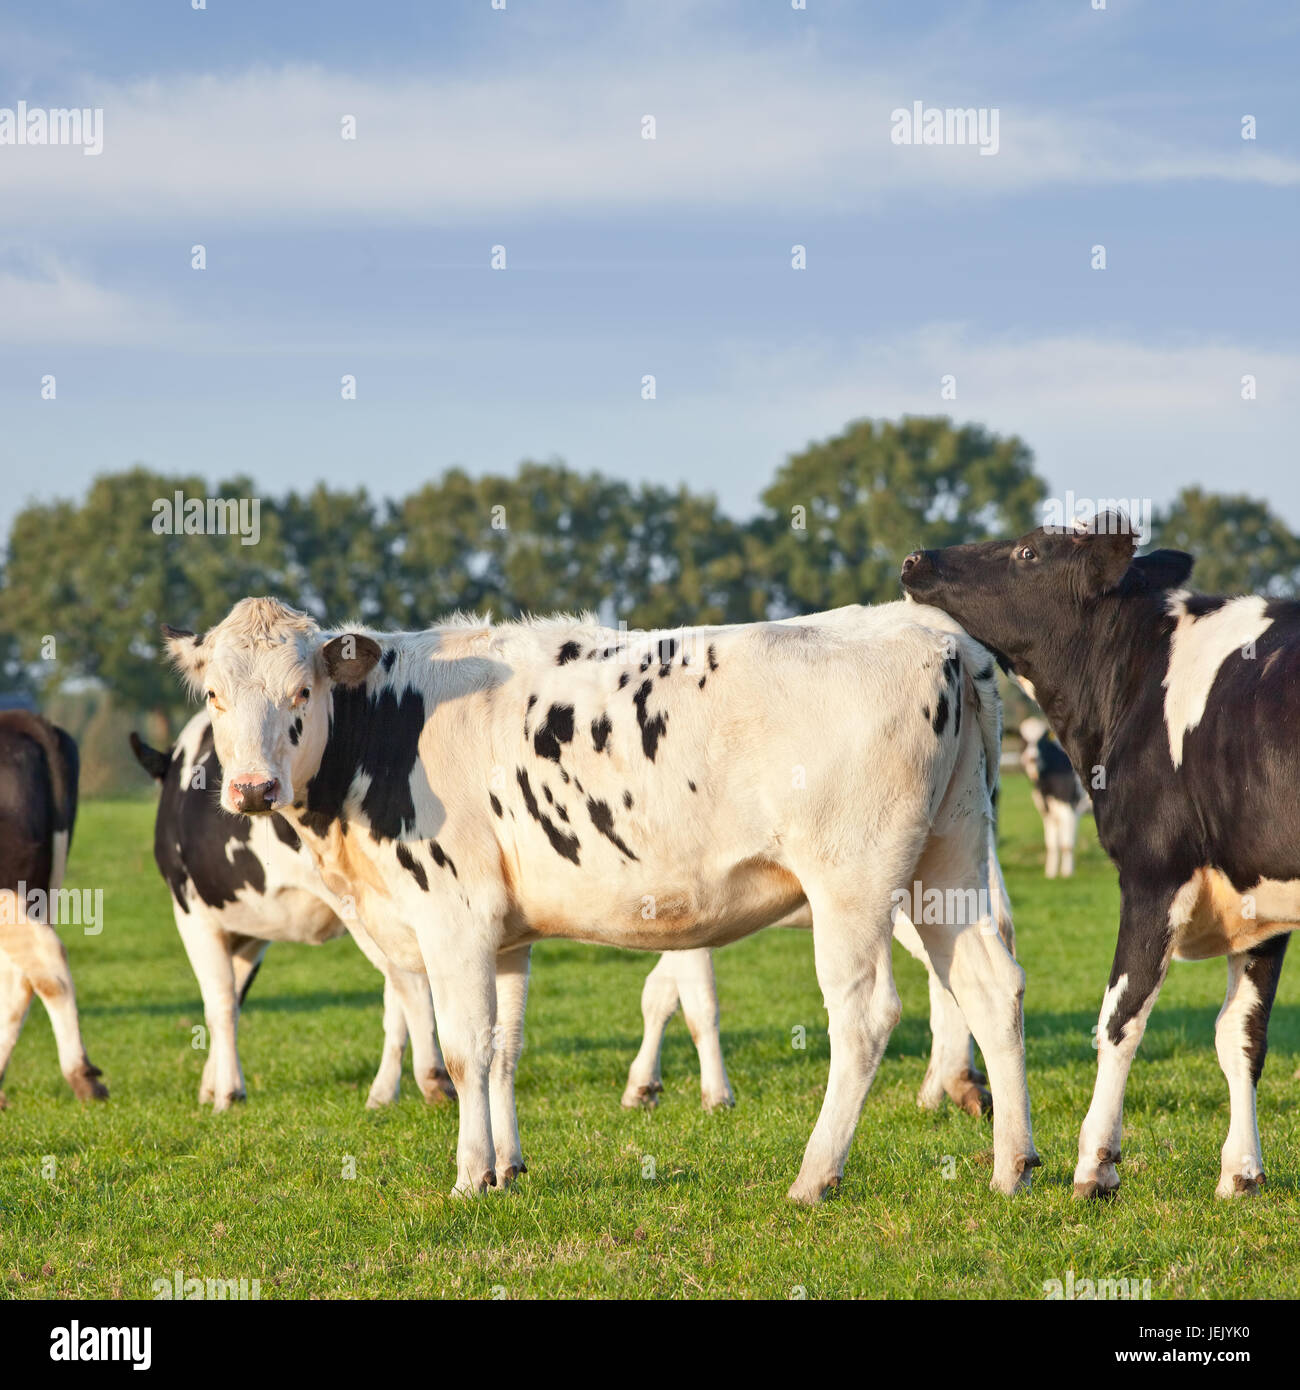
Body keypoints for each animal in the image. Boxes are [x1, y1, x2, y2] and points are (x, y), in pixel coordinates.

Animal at [130, 712, 456, 1111]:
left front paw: (227, 1093)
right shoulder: (251, 933)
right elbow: (236, 995)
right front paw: (213, 1083)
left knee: (410, 982)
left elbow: (219, 1003)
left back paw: (432, 1081)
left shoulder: (192, 914)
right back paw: (382, 1093)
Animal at [1018, 716, 1089, 878]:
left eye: (1042, 741)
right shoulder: (1047, 811)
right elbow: (1052, 844)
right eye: (1024, 740)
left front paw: (1067, 873)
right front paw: (1050, 873)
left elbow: (1067, 844)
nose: (1032, 758)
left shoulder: (1069, 807)